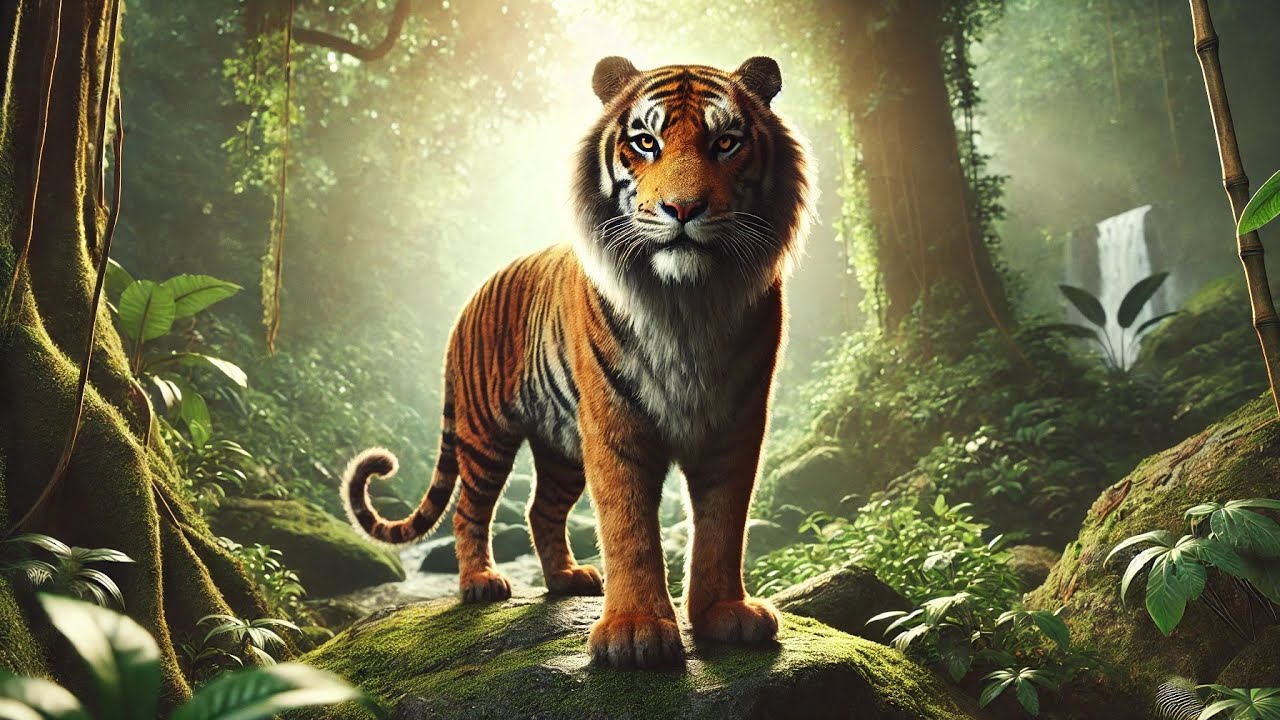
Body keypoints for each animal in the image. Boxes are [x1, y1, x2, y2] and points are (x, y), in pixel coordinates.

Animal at [342, 55, 813, 669]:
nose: (683, 209)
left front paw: (725, 614)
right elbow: (628, 527)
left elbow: (722, 523)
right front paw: (635, 633)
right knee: (470, 509)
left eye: (726, 142)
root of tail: (469, 299)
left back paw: (567, 578)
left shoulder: (735, 424)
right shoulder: (614, 425)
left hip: (562, 448)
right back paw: (480, 583)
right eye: (645, 141)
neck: (688, 302)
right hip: (486, 434)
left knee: (540, 510)